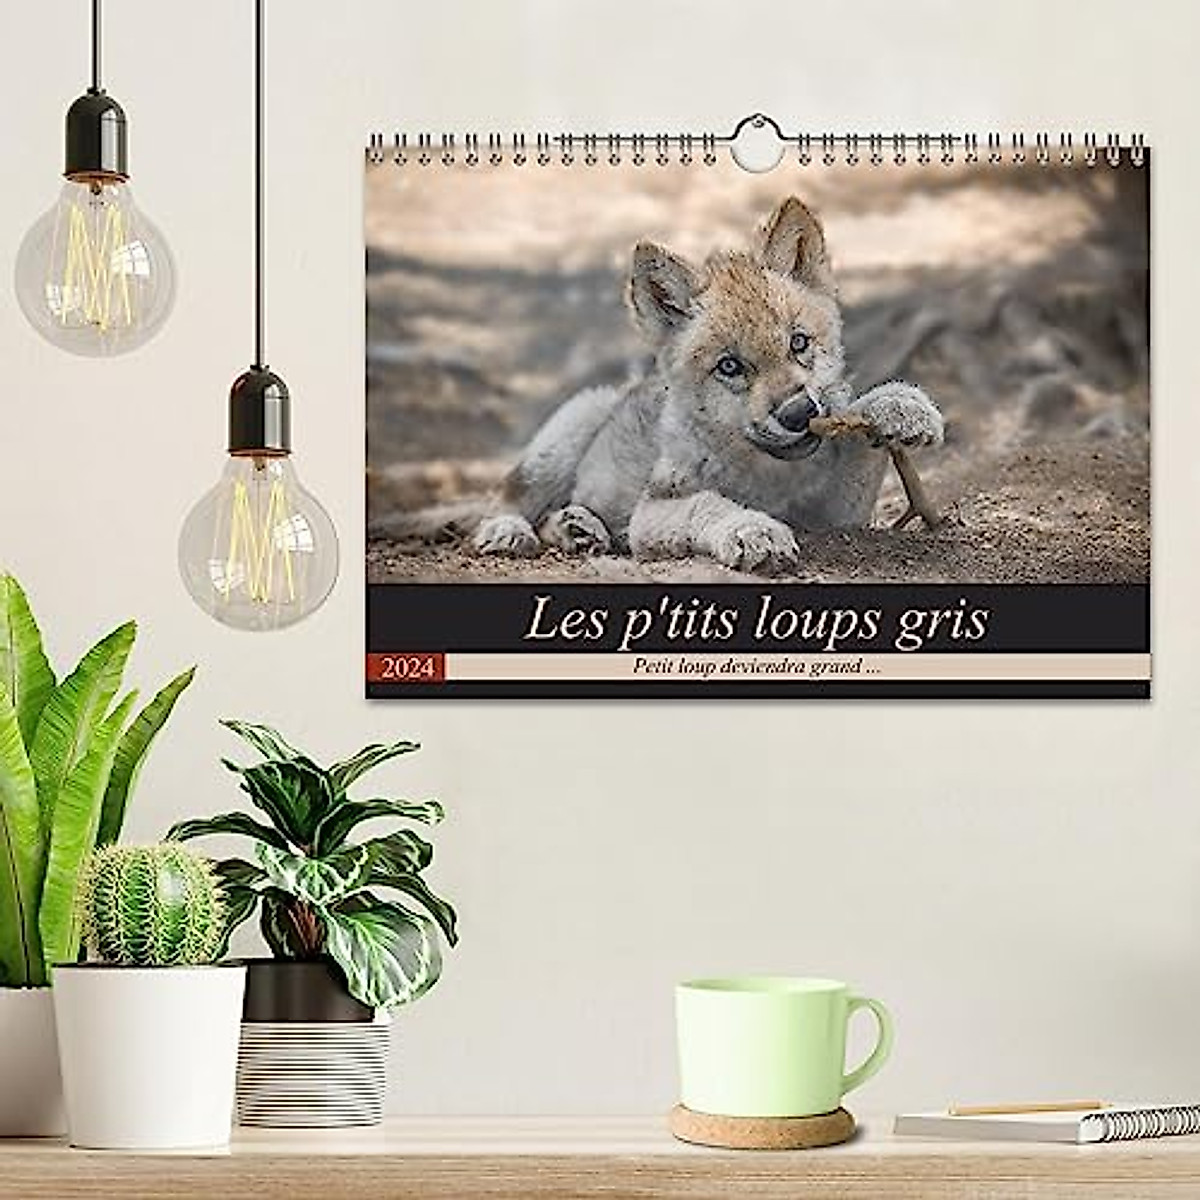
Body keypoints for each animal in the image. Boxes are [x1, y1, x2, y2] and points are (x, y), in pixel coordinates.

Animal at [383, 196, 944, 575]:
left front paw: (901, 406)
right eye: (730, 367)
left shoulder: (838, 516)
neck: (768, 477)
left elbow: (861, 431)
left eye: (799, 343)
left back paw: (579, 528)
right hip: (562, 439)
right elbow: (708, 504)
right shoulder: (652, 514)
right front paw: (752, 530)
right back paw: (510, 531)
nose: (797, 414)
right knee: (504, 500)